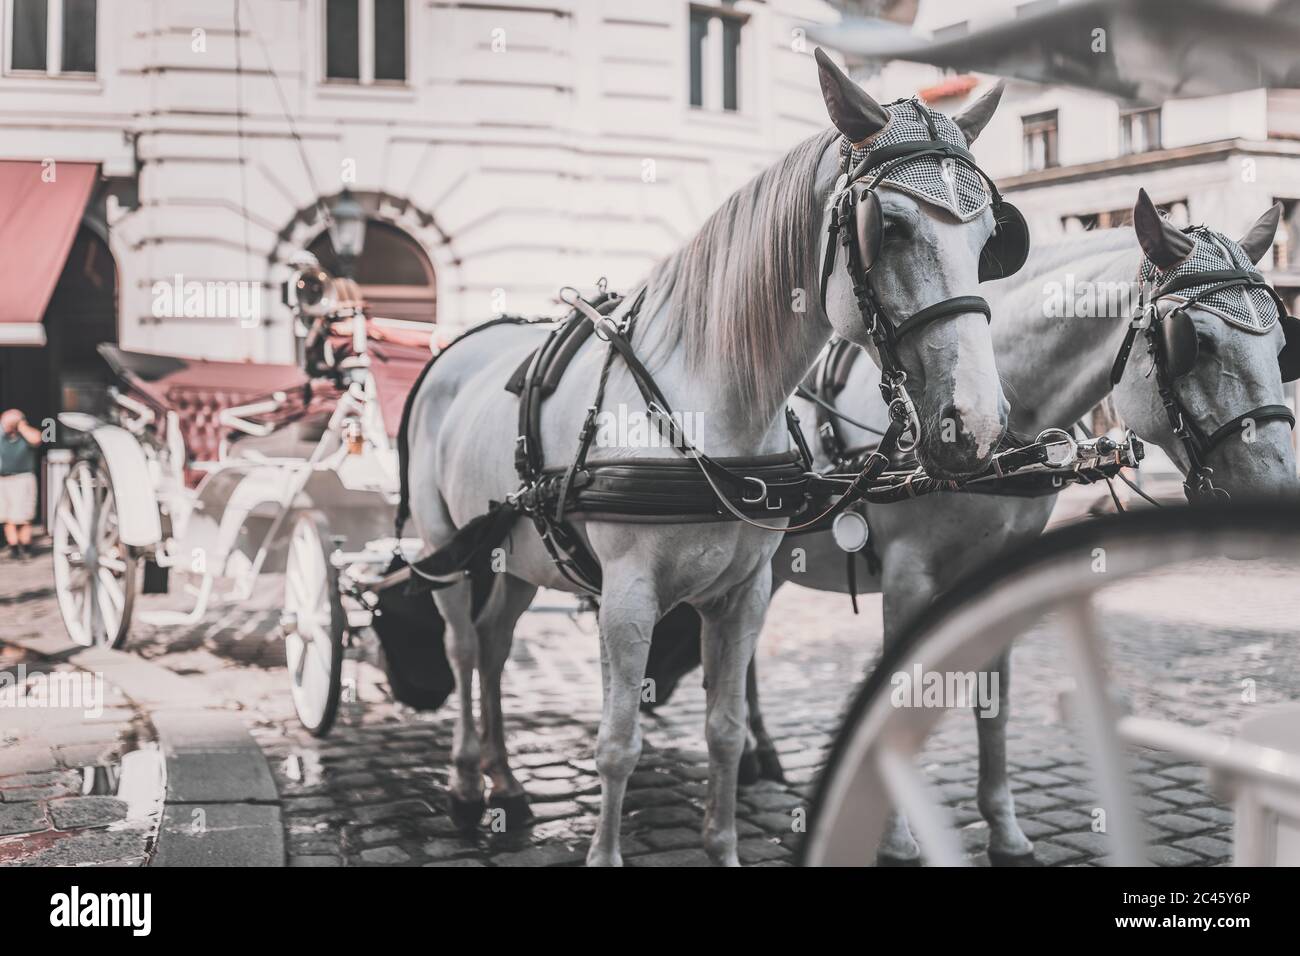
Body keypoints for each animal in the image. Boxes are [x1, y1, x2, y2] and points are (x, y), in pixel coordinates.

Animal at [400, 50, 1014, 866]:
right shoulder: (627, 597)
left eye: (991, 239)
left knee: (497, 642)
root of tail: (455, 347)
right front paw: (604, 852)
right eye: (889, 226)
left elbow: (724, 731)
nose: (975, 423)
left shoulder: (744, 594)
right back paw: (470, 780)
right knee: (465, 646)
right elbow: (618, 744)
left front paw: (722, 843)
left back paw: (504, 779)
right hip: (445, 545)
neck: (713, 407)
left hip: (517, 553)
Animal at [649, 189, 1300, 864]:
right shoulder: (908, 574)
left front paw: (1004, 829)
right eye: (1193, 342)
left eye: (1284, 343)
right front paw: (897, 837)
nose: (1277, 497)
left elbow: (995, 701)